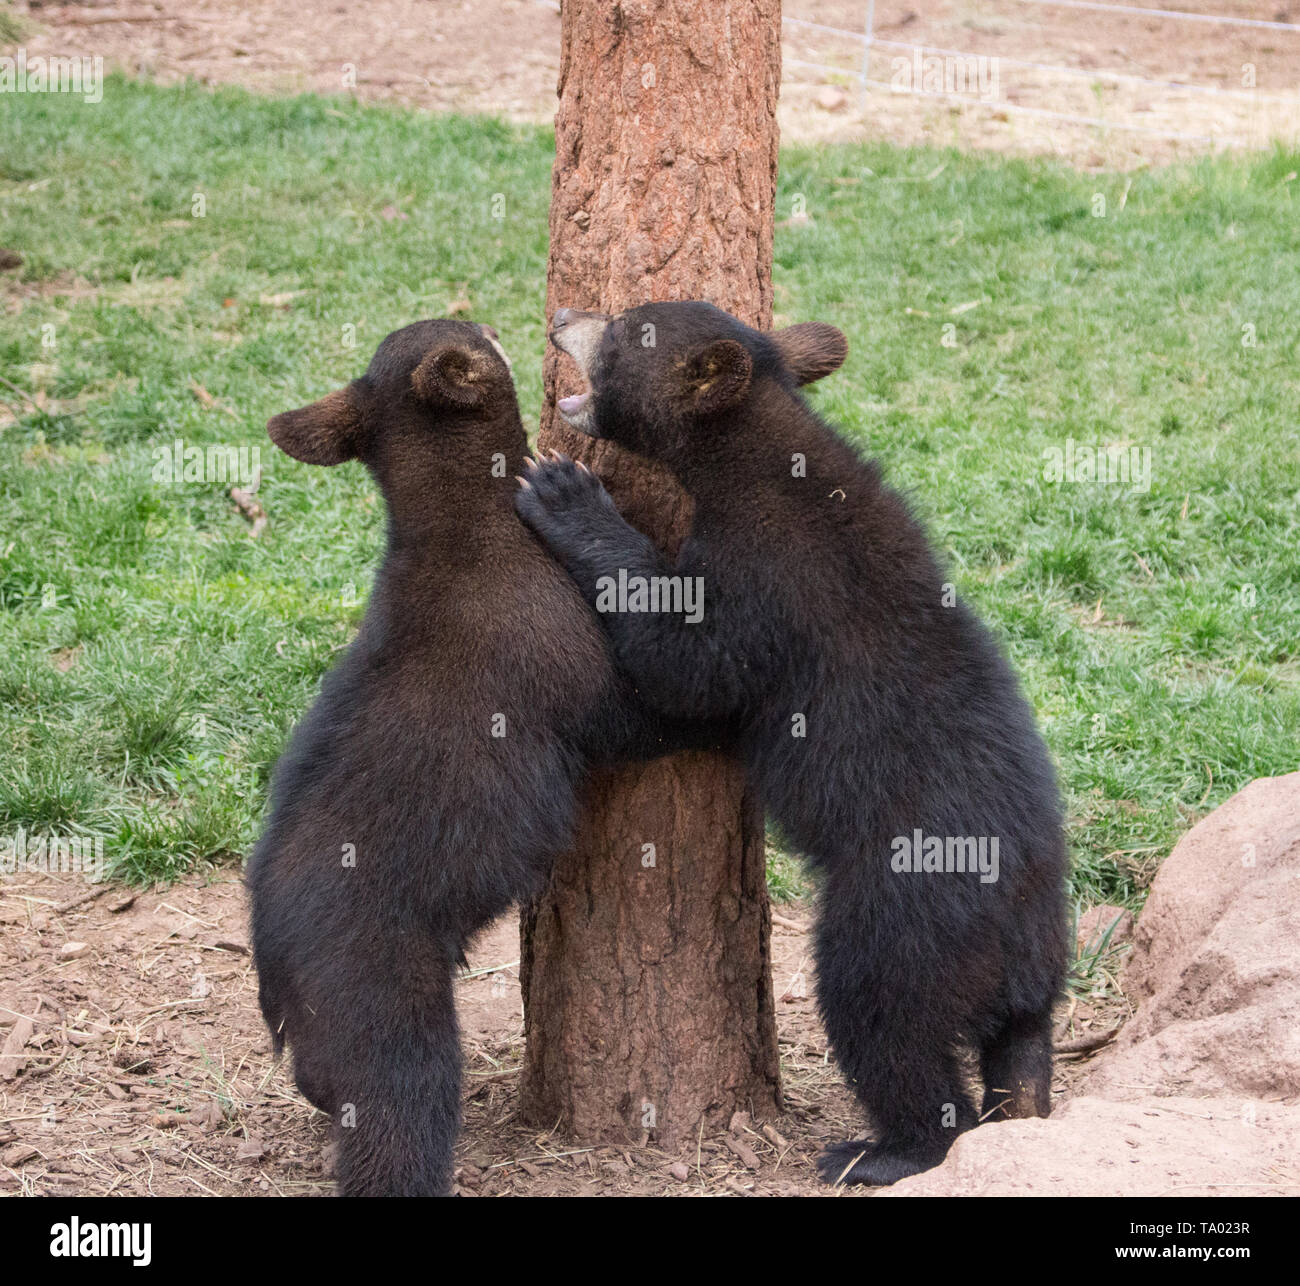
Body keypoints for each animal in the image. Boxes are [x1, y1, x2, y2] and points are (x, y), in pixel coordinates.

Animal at [247, 318, 694, 1196]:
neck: (465, 523)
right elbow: (653, 709)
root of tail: (273, 971)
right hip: (385, 1009)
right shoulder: (577, 669)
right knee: (398, 1117)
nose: (526, 323)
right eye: (479, 332)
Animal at [514, 301, 1069, 1187]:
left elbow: (691, 660)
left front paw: (564, 495)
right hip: (1026, 970)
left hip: (902, 911)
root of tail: (1025, 940)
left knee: (882, 1017)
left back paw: (882, 1149)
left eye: (629, 327)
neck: (758, 454)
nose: (566, 314)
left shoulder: (774, 576)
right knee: (1018, 1051)